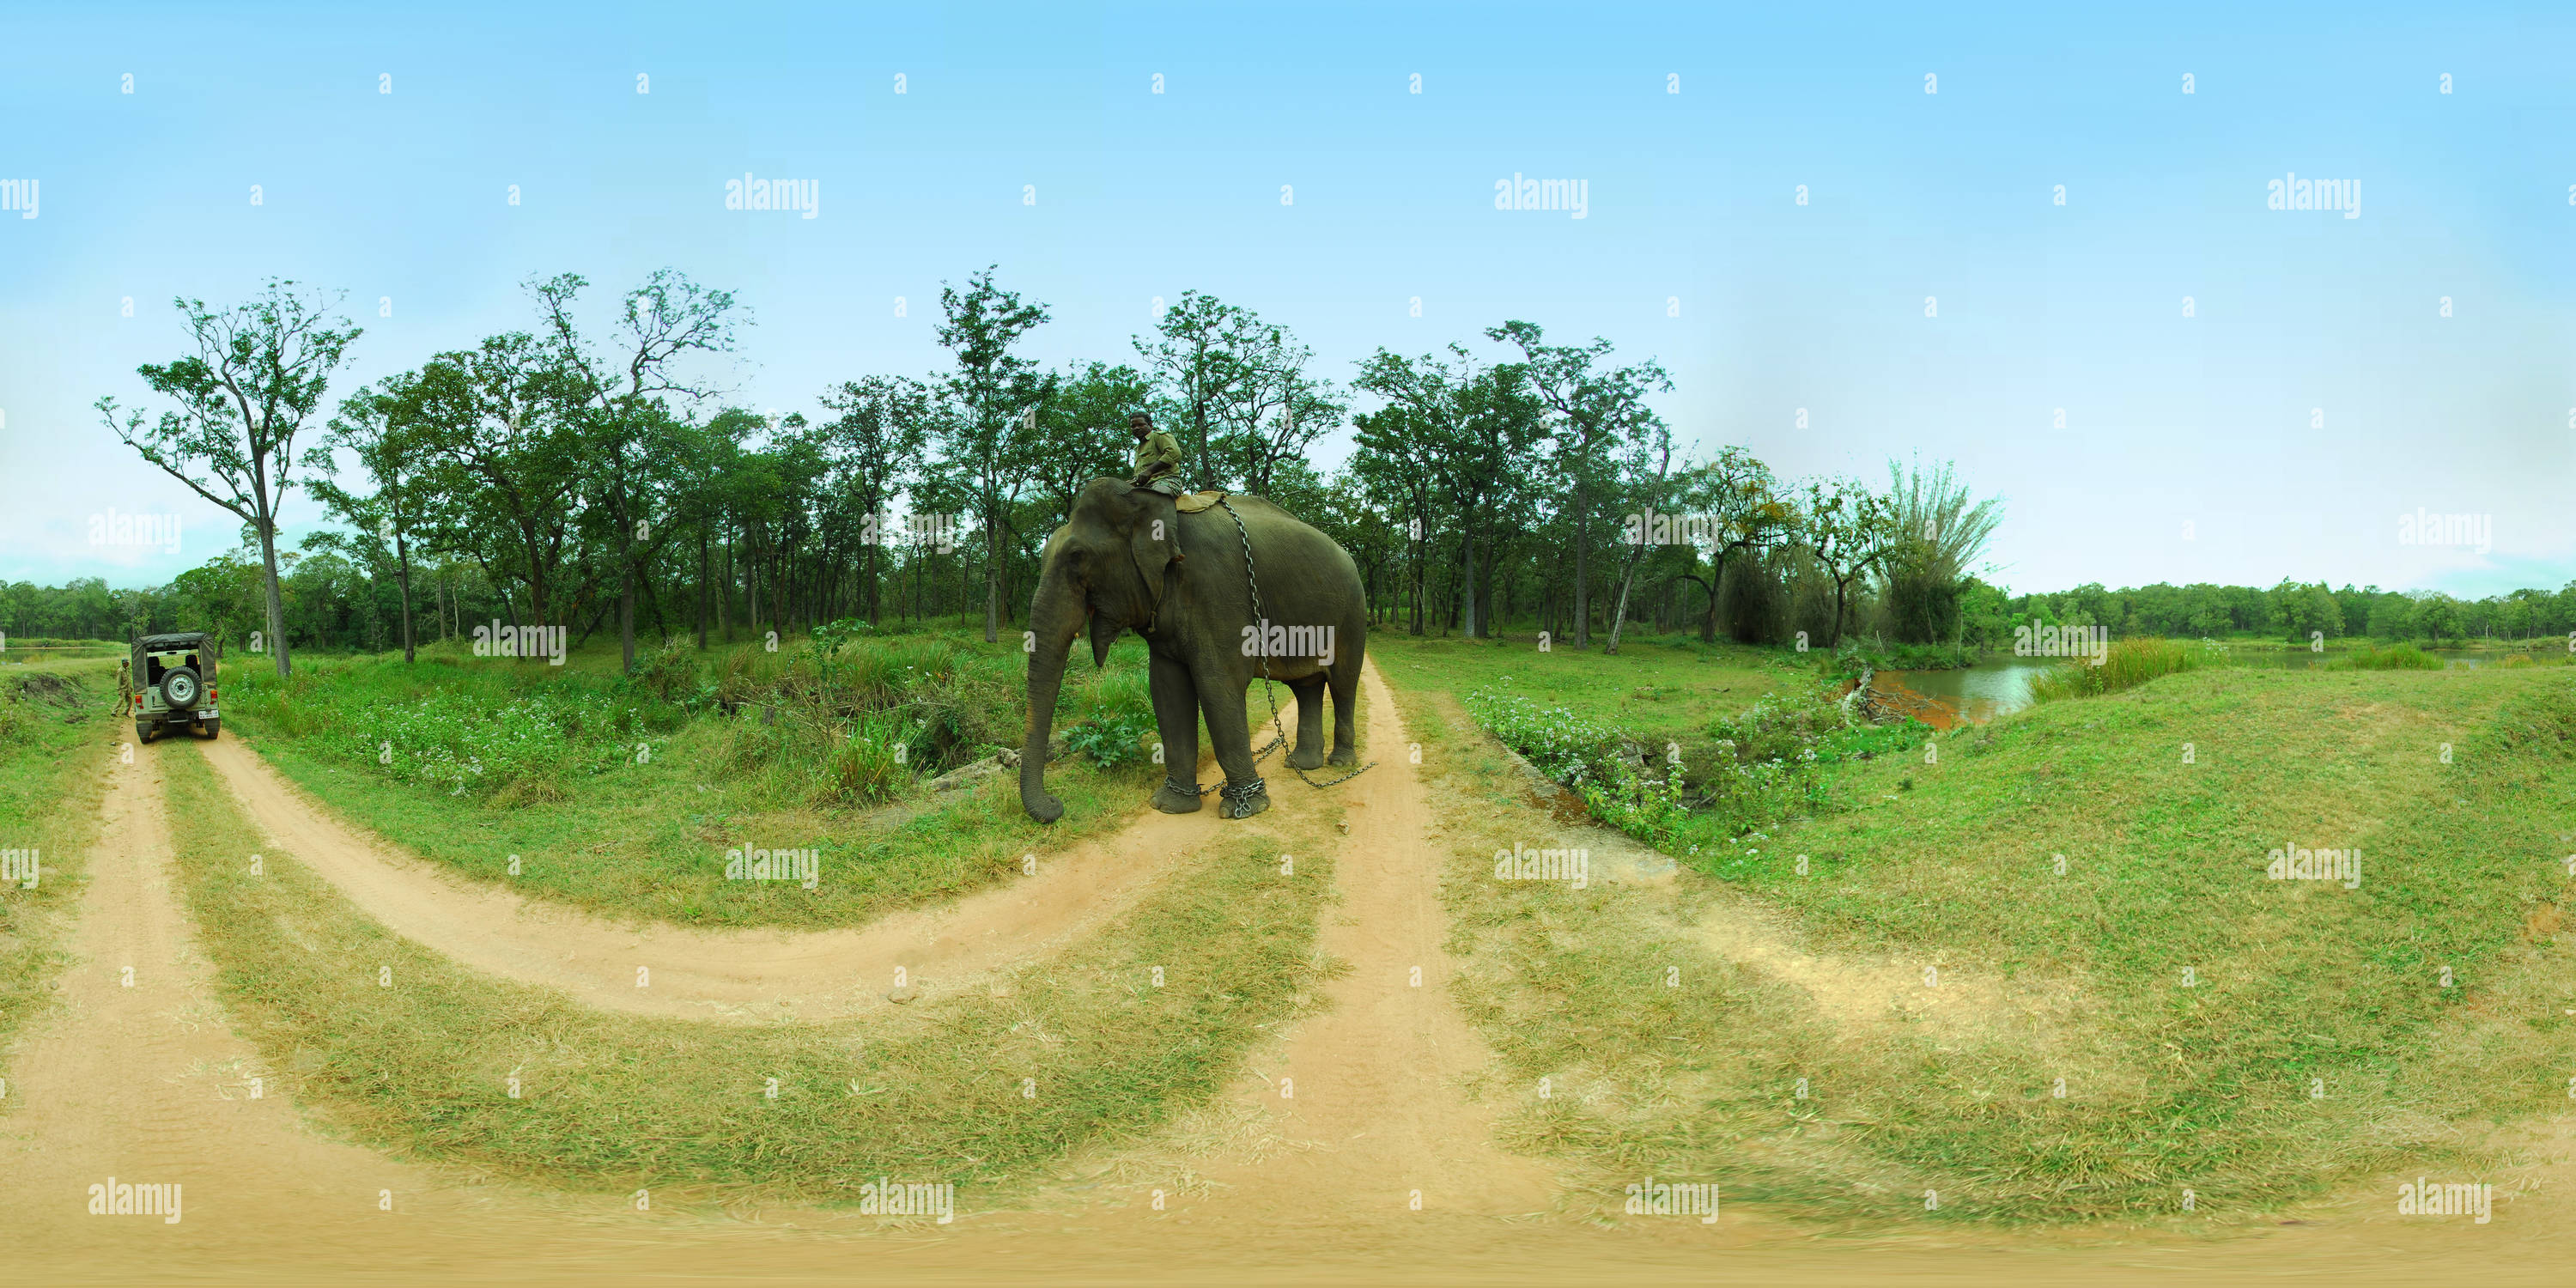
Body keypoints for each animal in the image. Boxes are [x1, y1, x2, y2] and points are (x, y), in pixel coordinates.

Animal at [1021, 477, 1367, 823]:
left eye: (1077, 555)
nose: (1056, 803)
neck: (1149, 503)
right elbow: (1167, 690)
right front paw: (1170, 806)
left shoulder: (1218, 589)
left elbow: (1218, 683)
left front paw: (1245, 809)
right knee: (1306, 686)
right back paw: (1303, 764)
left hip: (1353, 612)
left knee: (1343, 683)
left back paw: (1341, 763)